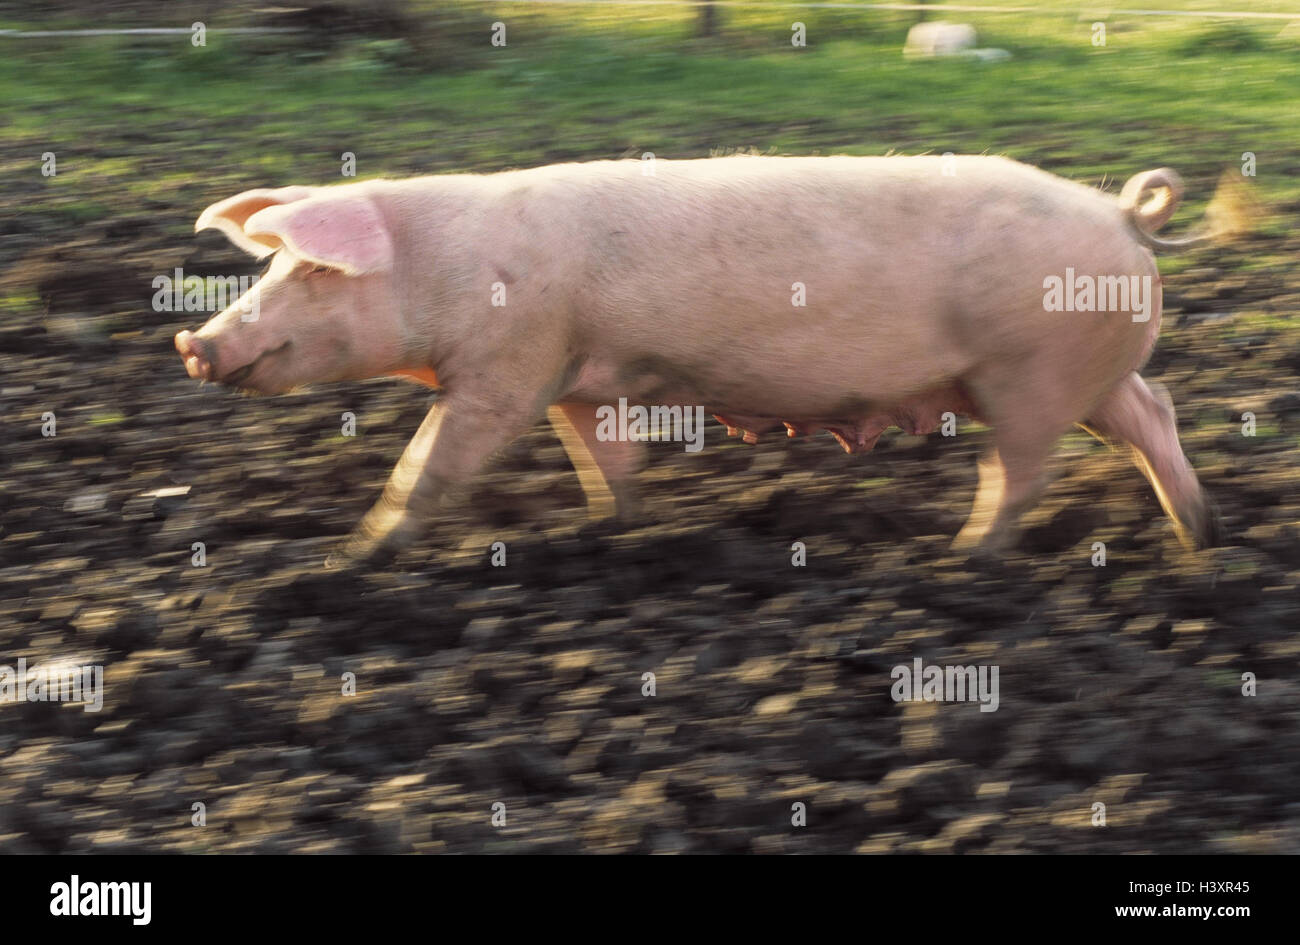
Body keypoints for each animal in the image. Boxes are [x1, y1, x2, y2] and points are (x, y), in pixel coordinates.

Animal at [175, 155, 1226, 569]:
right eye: (273, 263)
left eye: (313, 268)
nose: (192, 344)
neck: (453, 263)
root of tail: (1123, 214)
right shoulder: (576, 377)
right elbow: (604, 457)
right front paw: (616, 529)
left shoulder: (510, 366)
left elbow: (429, 463)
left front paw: (354, 555)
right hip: (1082, 370)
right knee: (1153, 412)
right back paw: (1198, 539)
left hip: (1027, 373)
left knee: (1021, 467)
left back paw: (963, 555)